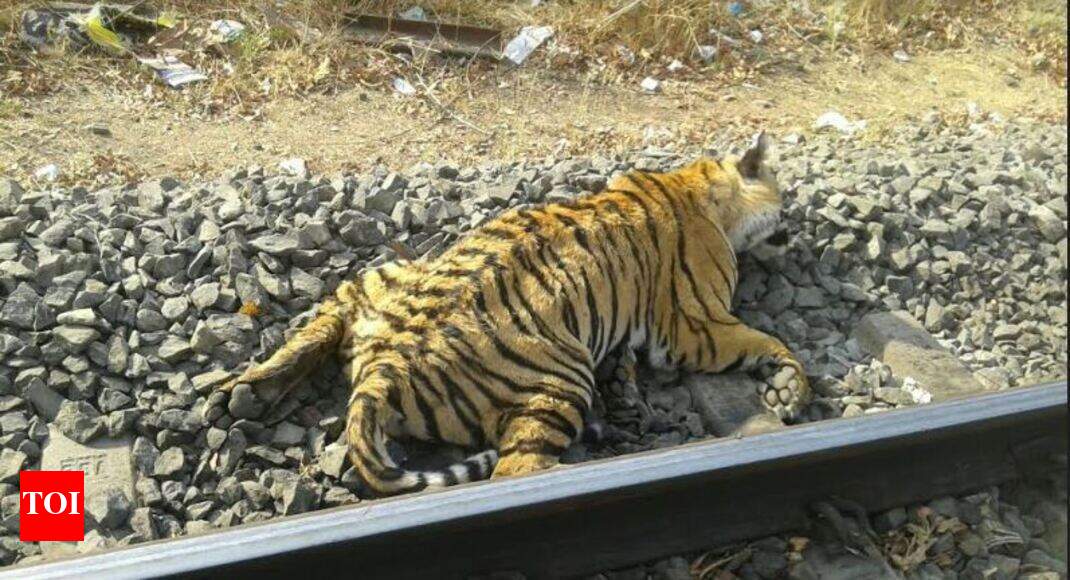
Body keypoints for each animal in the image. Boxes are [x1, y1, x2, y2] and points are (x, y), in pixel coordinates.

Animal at [214, 132, 811, 496]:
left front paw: (628, 390)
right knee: (514, 471)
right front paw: (788, 392)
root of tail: (382, 369)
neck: (699, 183)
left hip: (382, 276)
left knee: (322, 324)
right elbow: (770, 343)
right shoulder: (698, 325)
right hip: (561, 381)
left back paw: (253, 387)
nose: (797, 234)